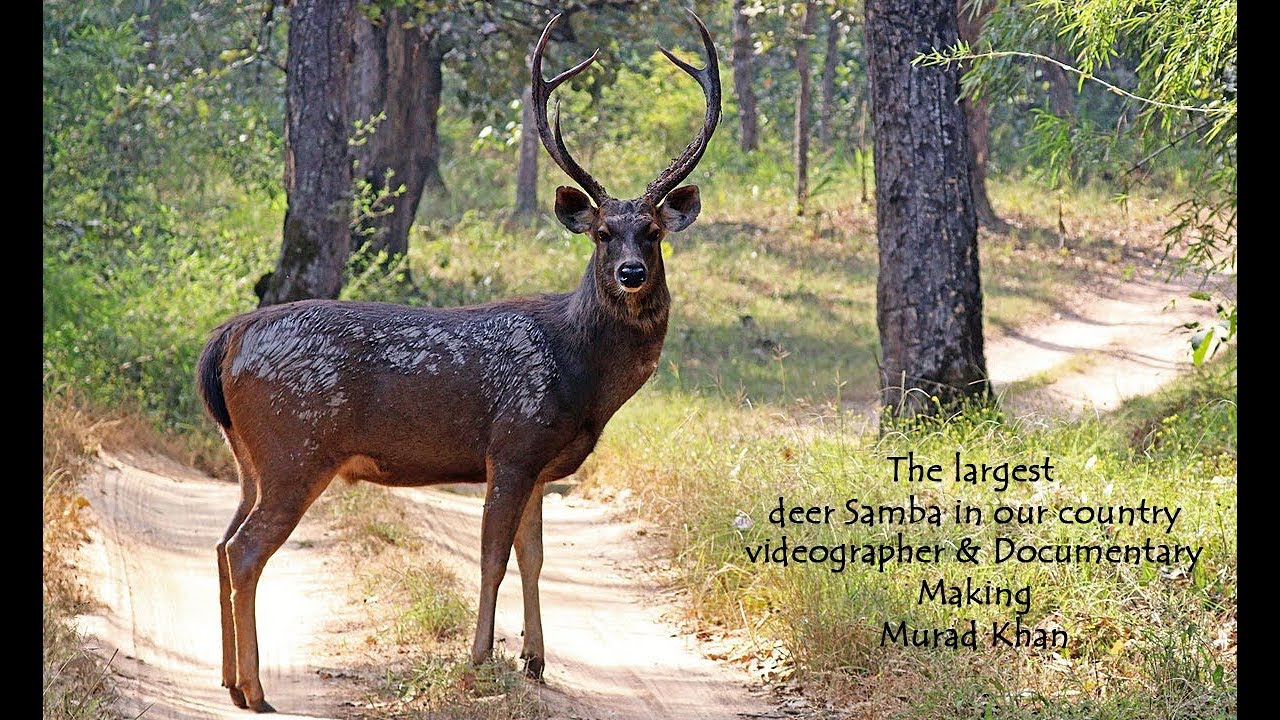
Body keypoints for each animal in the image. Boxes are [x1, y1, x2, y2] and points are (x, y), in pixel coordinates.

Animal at [195, 10, 720, 713]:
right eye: (603, 233)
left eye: (654, 232)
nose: (632, 273)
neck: (582, 376)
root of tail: (227, 339)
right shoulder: (514, 443)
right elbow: (493, 555)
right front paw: (479, 659)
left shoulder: (541, 464)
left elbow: (534, 556)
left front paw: (535, 661)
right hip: (295, 447)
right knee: (247, 550)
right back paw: (254, 689)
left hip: (248, 455)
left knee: (222, 543)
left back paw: (229, 680)